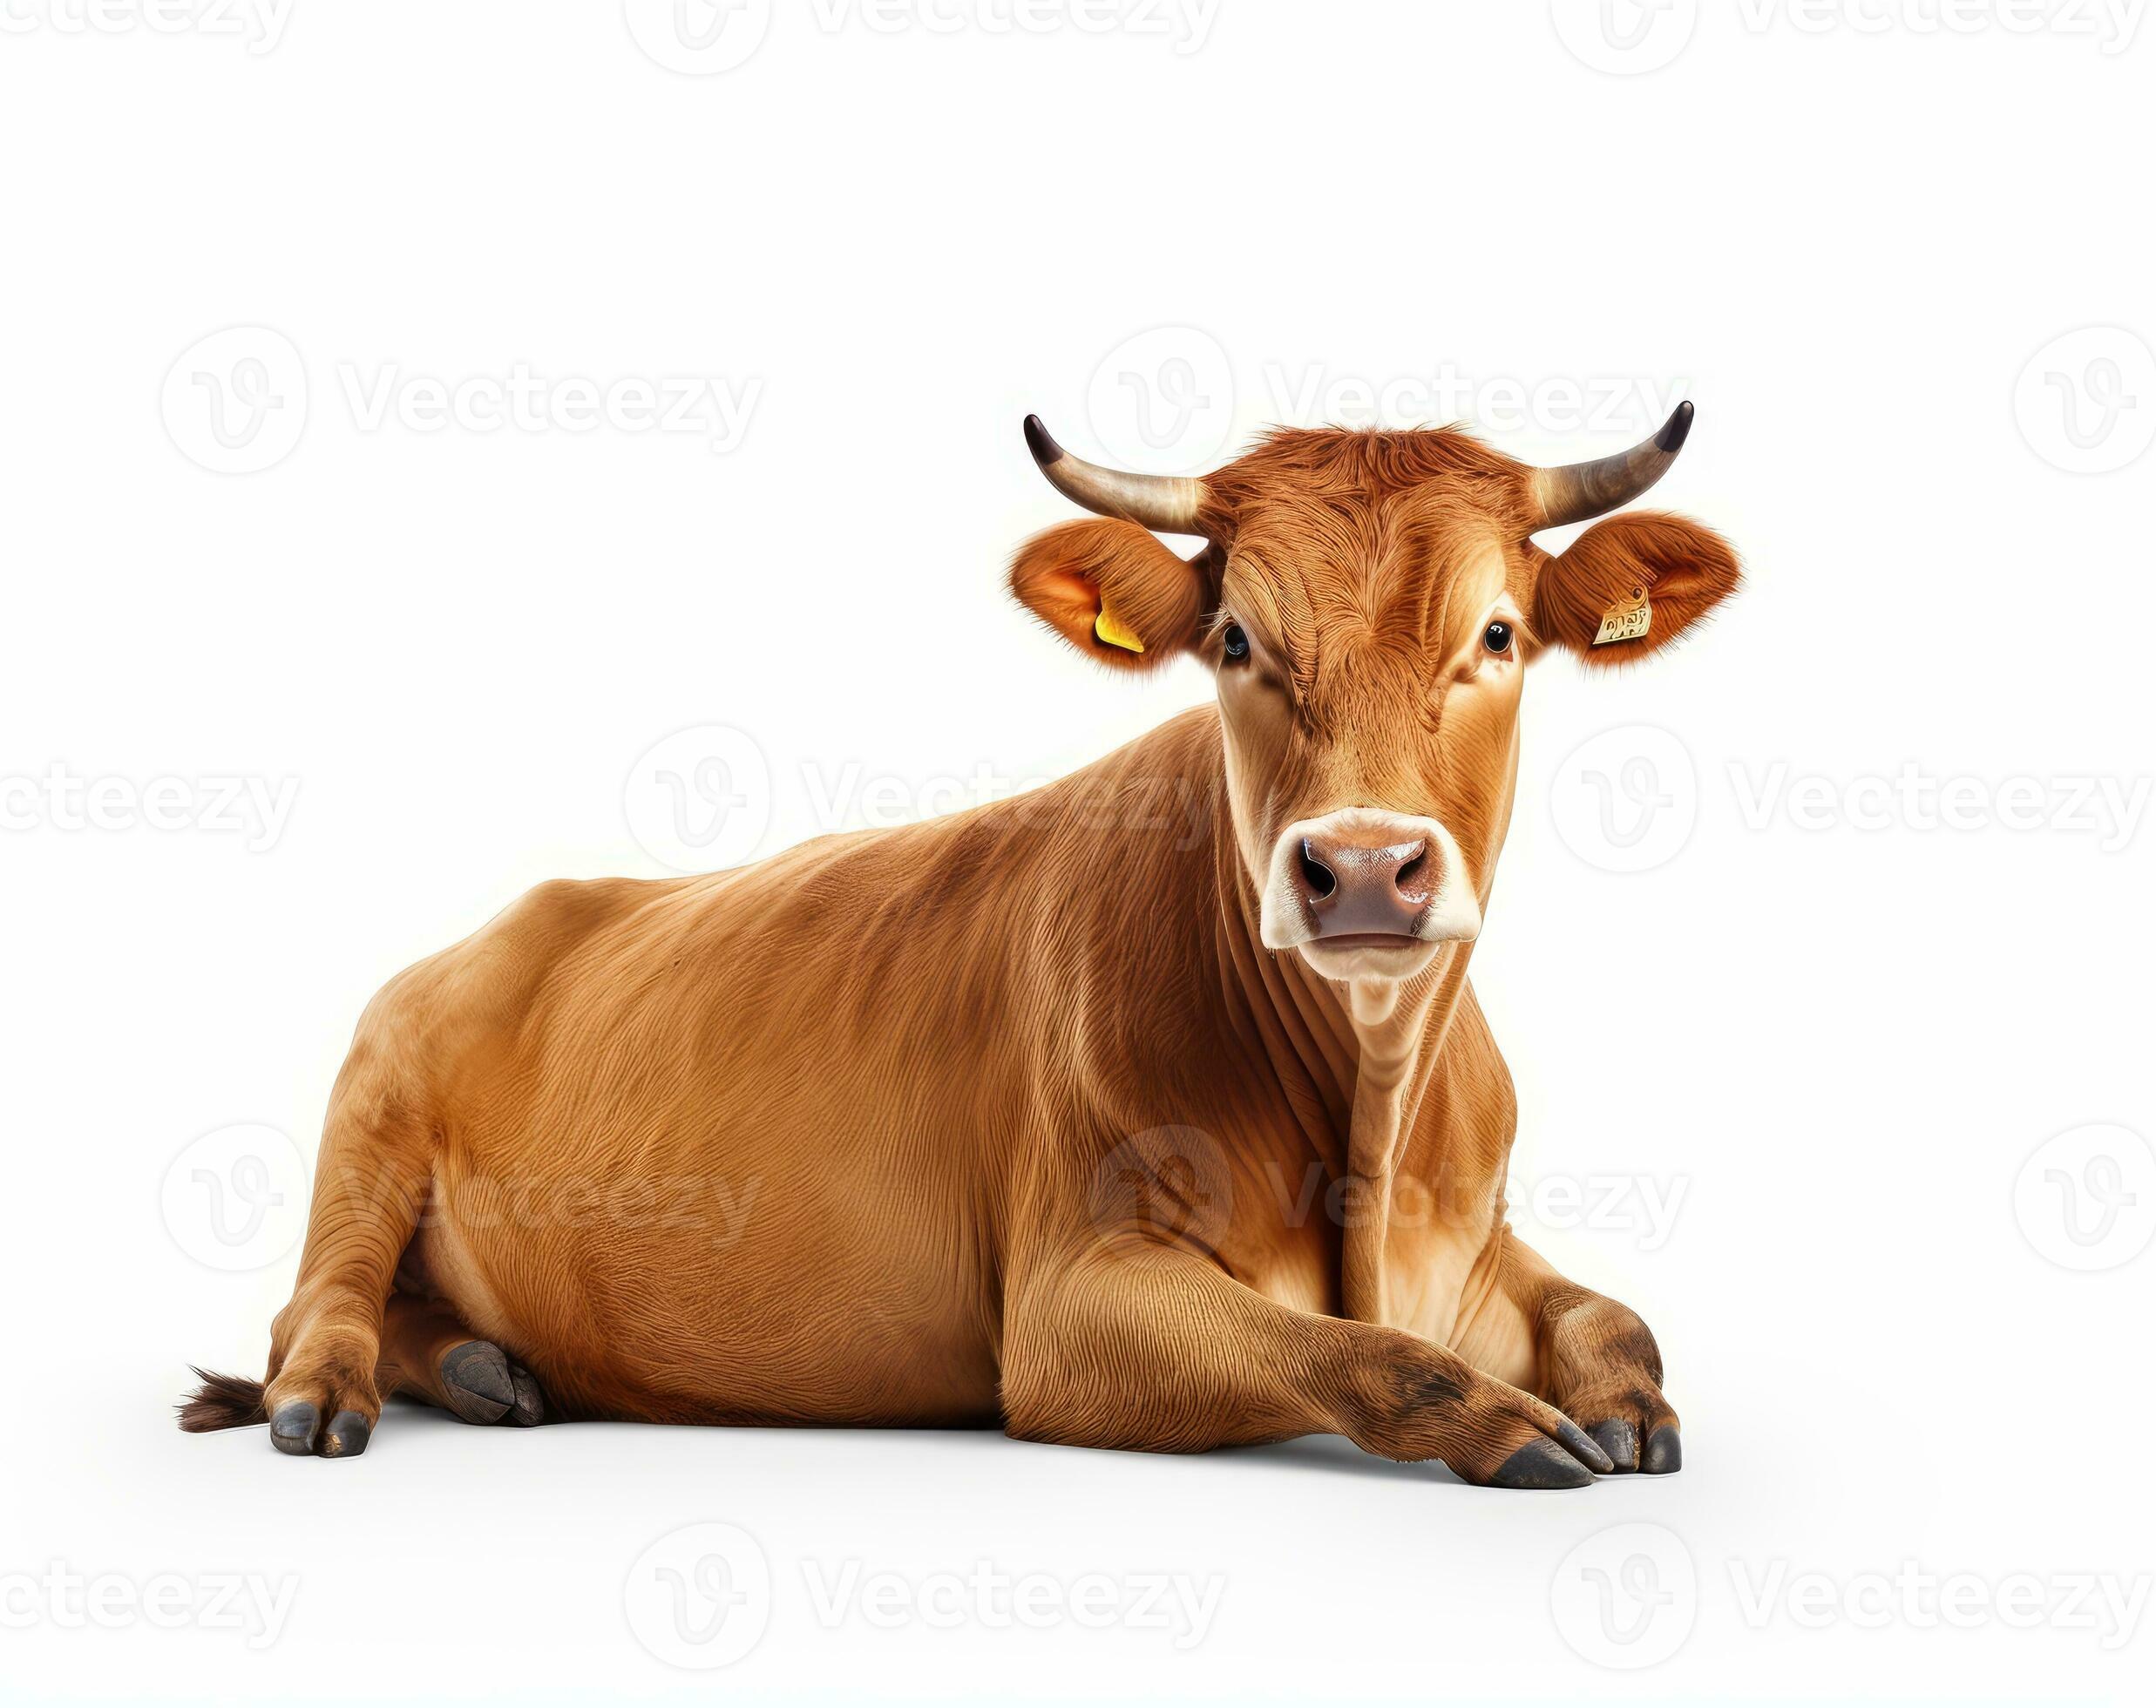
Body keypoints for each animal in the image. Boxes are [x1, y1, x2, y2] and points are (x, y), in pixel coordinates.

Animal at [180, 402, 1739, 1488]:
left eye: (1499, 635)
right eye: (1236, 642)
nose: (1362, 867)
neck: (1367, 1115)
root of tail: (532, 906)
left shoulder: (1472, 1251)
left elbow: (1616, 1322)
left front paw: (1626, 1410)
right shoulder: (1065, 1305)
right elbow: (1363, 1356)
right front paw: (1510, 1428)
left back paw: (490, 1369)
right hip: (371, 1110)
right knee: (312, 1306)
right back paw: (335, 1394)